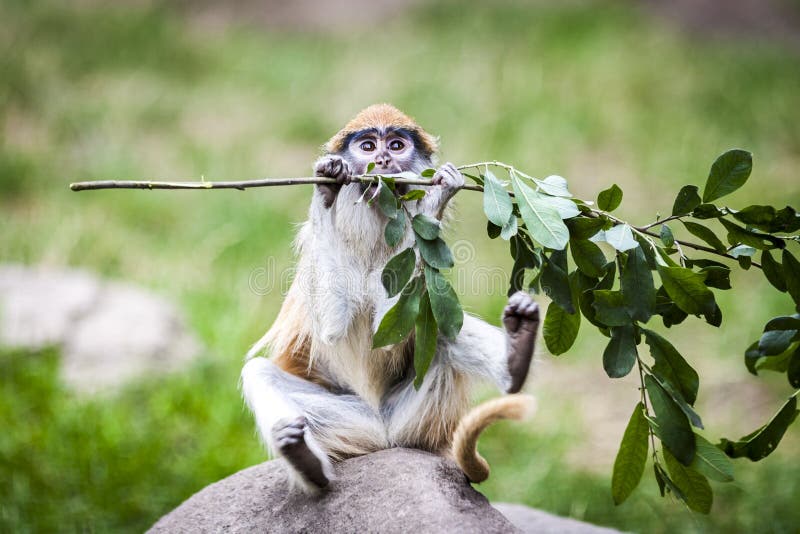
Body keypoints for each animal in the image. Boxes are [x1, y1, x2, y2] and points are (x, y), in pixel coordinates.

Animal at [241, 104, 540, 492]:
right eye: (368, 146)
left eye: (397, 145)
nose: (382, 159)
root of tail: (384, 432)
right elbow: (333, 328)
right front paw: (326, 188)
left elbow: (396, 321)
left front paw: (437, 194)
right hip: (354, 423)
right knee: (259, 372)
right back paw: (306, 464)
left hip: (416, 414)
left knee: (440, 326)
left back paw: (517, 356)